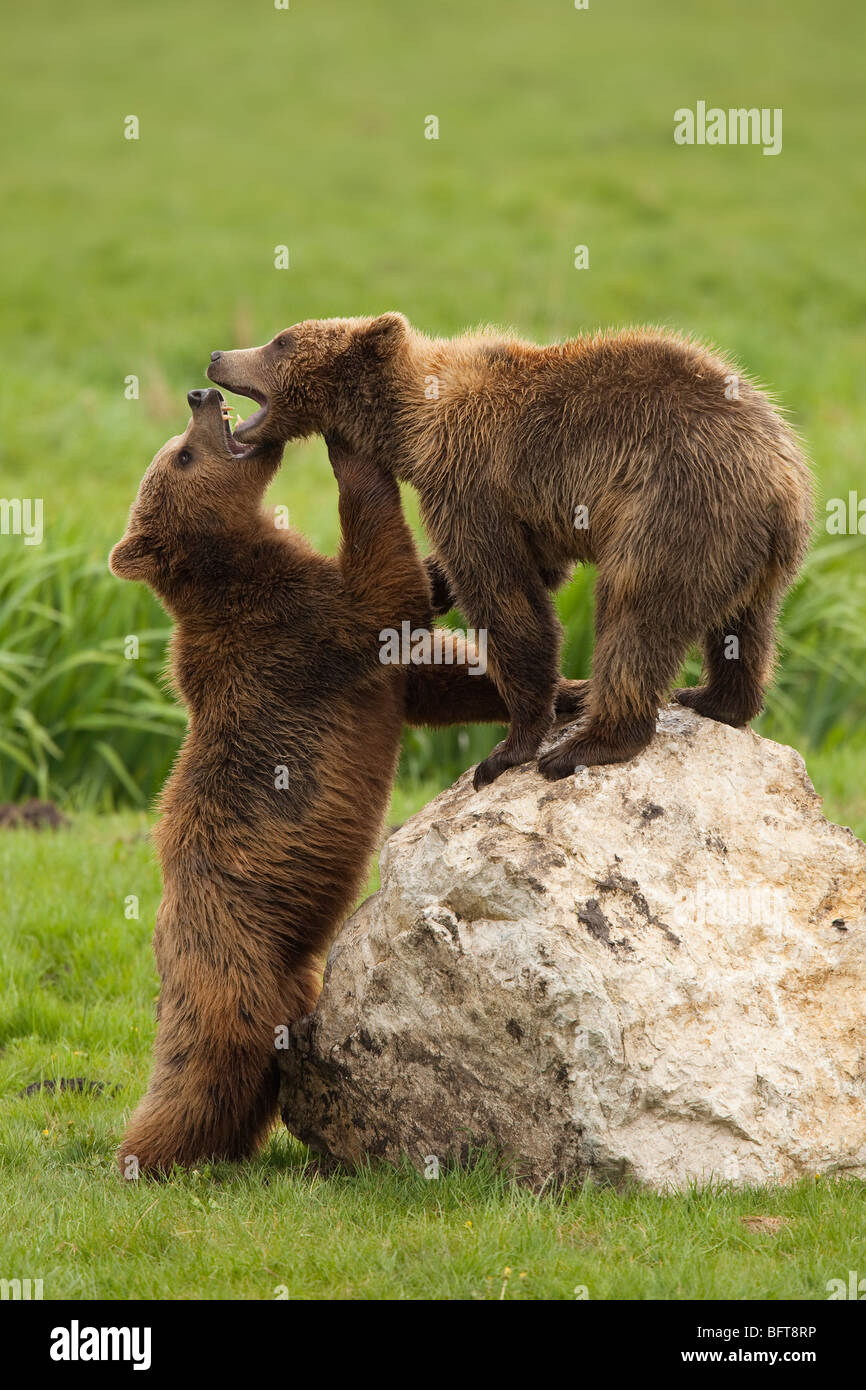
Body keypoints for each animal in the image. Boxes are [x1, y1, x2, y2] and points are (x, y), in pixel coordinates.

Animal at [109, 386, 527, 1175]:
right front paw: (349, 445)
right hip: (230, 961)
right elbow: (383, 592)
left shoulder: (336, 642)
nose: (201, 394)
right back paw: (145, 1156)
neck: (239, 564)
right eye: (183, 454)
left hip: (286, 975)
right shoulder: (305, 631)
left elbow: (431, 670)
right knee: (208, 1068)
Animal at [207, 315, 814, 788]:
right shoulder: (528, 514)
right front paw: (429, 586)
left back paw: (585, 746)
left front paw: (507, 750)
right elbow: (530, 570)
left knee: (634, 618)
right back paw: (714, 700)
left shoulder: (471, 480)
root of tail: (783, 481)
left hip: (676, 509)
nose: (217, 356)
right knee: (747, 626)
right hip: (750, 551)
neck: (413, 425)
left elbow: (506, 597)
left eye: (281, 341)